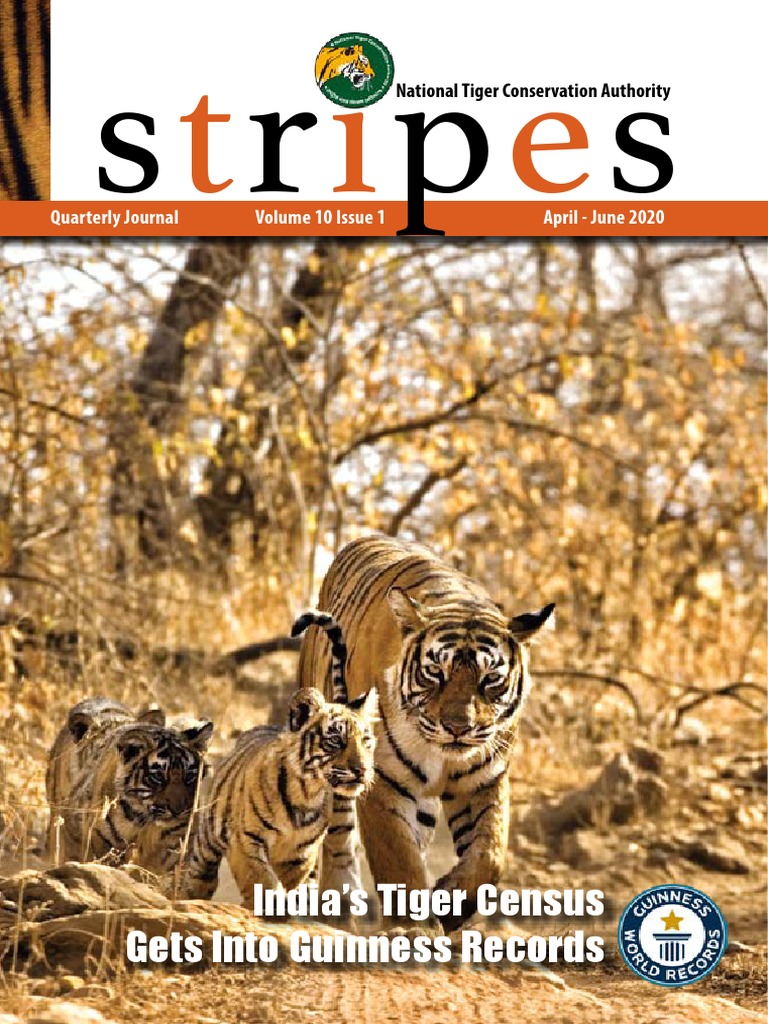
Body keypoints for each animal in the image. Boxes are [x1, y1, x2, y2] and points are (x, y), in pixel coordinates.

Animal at [177, 611, 377, 907]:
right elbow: (263, 881)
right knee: (199, 875)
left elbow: (287, 887)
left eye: (366, 742)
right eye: (335, 741)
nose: (362, 770)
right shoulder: (246, 842)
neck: (307, 794)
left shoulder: (300, 856)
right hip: (207, 842)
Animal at [296, 534, 555, 933]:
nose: (459, 727)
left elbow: (490, 854)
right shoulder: (383, 779)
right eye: (436, 673)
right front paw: (412, 927)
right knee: (337, 836)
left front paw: (450, 904)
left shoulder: (483, 779)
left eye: (490, 679)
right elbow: (398, 859)